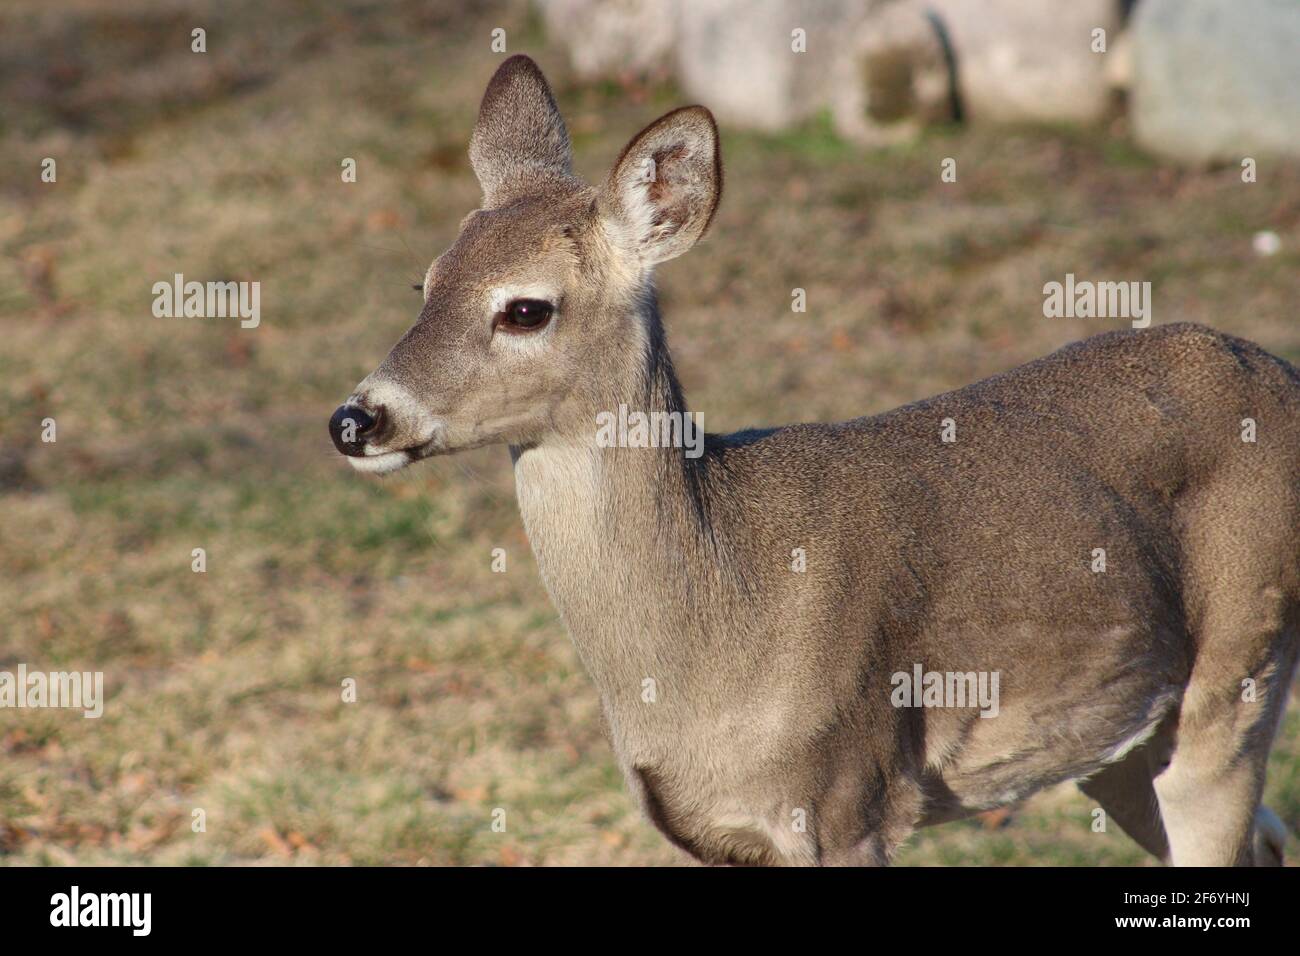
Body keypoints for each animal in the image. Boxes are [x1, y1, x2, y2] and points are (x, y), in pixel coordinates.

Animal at [330, 55, 1298, 866]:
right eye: (425, 284)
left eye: (525, 309)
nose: (356, 419)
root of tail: (1279, 371)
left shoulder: (844, 797)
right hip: (1120, 736)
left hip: (1243, 663)